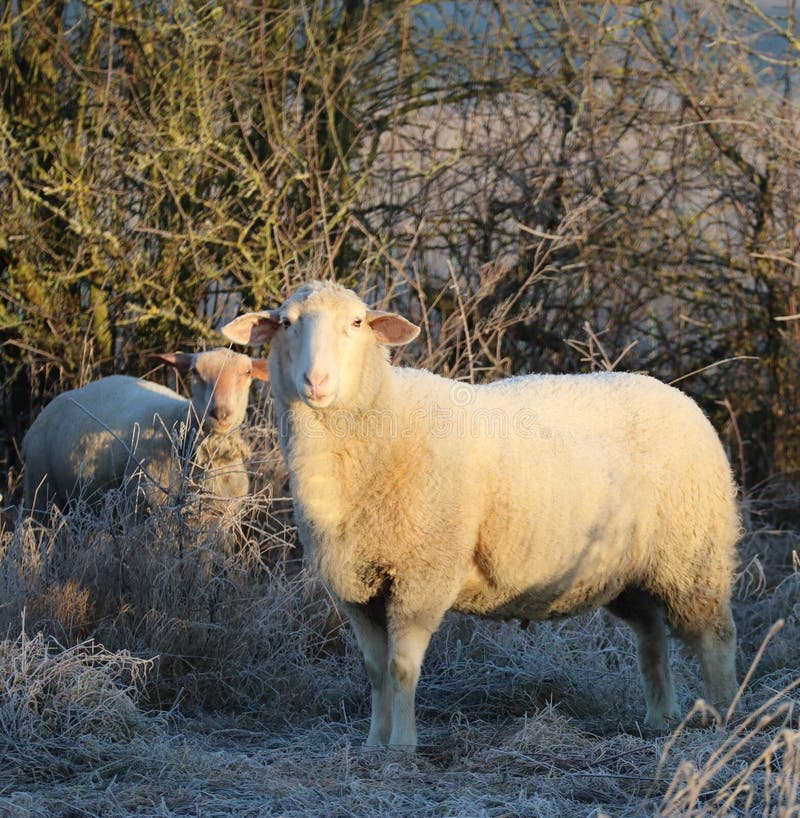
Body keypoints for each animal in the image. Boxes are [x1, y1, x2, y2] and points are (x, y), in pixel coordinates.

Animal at [222, 280, 741, 749]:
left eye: (355, 323)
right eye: (286, 324)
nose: (317, 382)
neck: (381, 426)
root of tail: (679, 397)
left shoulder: (423, 573)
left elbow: (401, 668)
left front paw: (402, 747)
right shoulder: (354, 584)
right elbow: (374, 670)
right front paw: (372, 744)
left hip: (694, 555)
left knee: (715, 637)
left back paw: (720, 720)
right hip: (628, 571)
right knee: (652, 636)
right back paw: (659, 719)